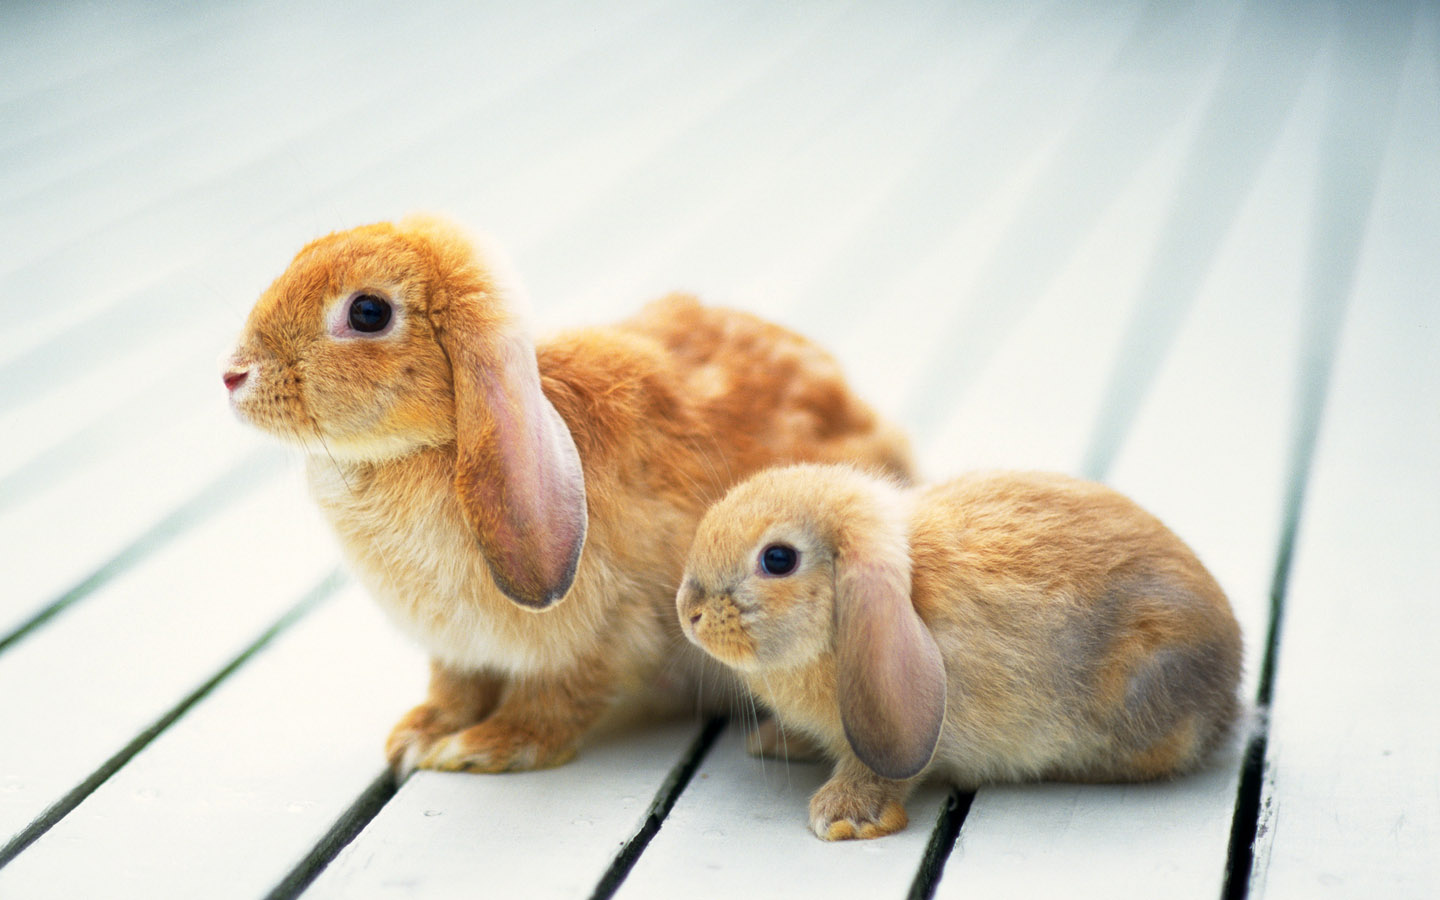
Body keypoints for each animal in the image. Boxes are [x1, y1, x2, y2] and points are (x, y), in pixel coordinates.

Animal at [223, 215, 914, 777]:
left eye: (368, 312)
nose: (232, 376)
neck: (444, 440)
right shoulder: (458, 651)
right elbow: (454, 688)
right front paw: (419, 735)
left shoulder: (603, 633)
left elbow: (557, 698)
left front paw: (485, 746)